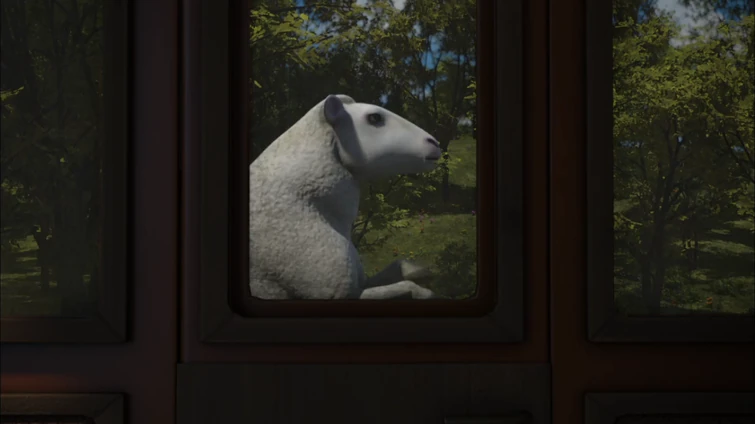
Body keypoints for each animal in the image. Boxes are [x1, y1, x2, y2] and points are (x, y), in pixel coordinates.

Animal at [249, 94, 442, 300]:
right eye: (374, 118)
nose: (435, 144)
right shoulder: (338, 292)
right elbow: (405, 285)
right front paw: (424, 292)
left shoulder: (359, 282)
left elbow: (400, 266)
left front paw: (423, 271)